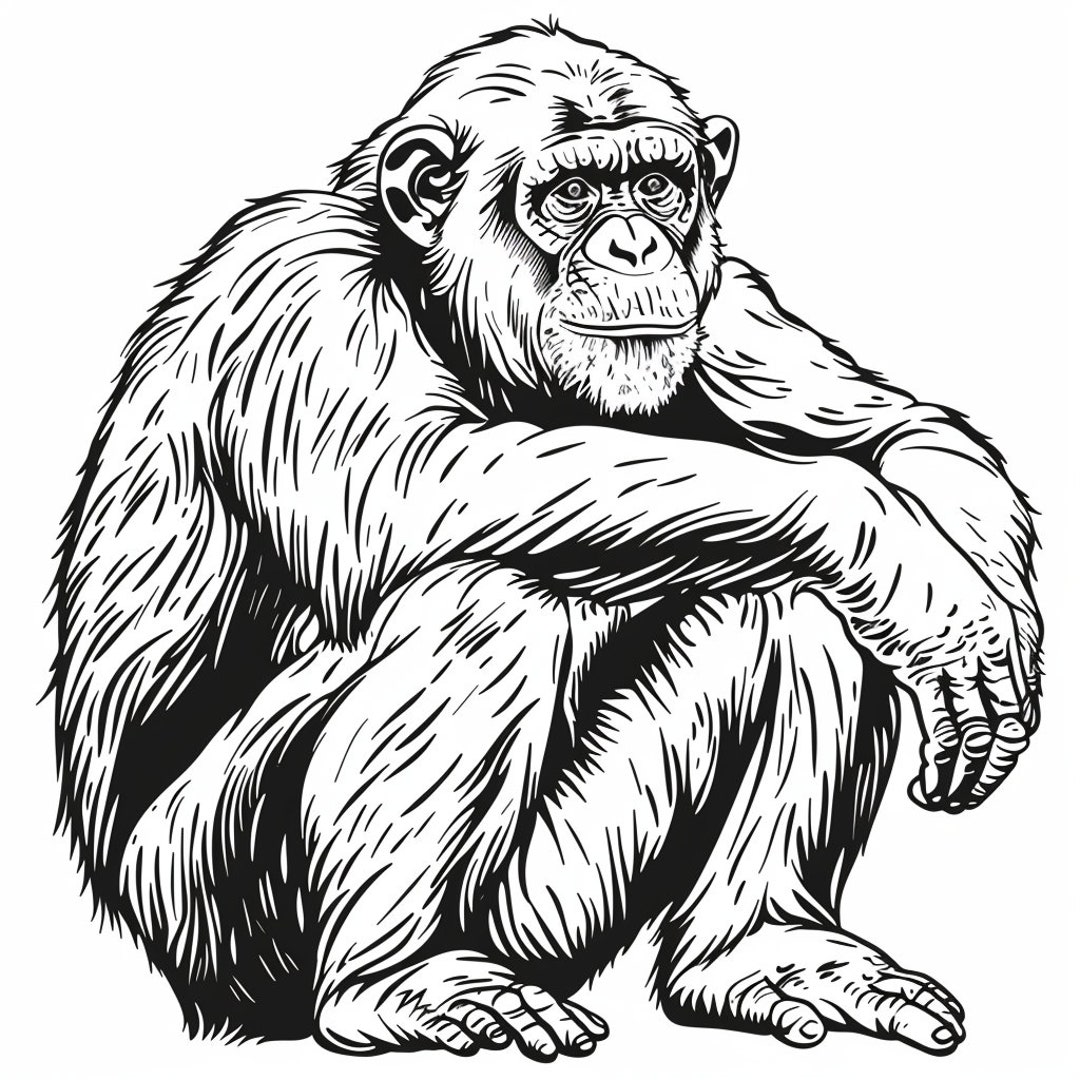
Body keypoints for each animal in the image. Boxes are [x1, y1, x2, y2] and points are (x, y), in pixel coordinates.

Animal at [53, 21, 1040, 1062]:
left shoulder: (729, 298)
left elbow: (902, 429)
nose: (638, 244)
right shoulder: (294, 287)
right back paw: (401, 981)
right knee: (488, 599)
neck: (436, 298)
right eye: (572, 194)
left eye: (658, 184)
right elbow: (416, 483)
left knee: (793, 600)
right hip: (218, 906)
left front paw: (981, 601)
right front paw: (908, 563)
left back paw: (762, 949)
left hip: (560, 897)